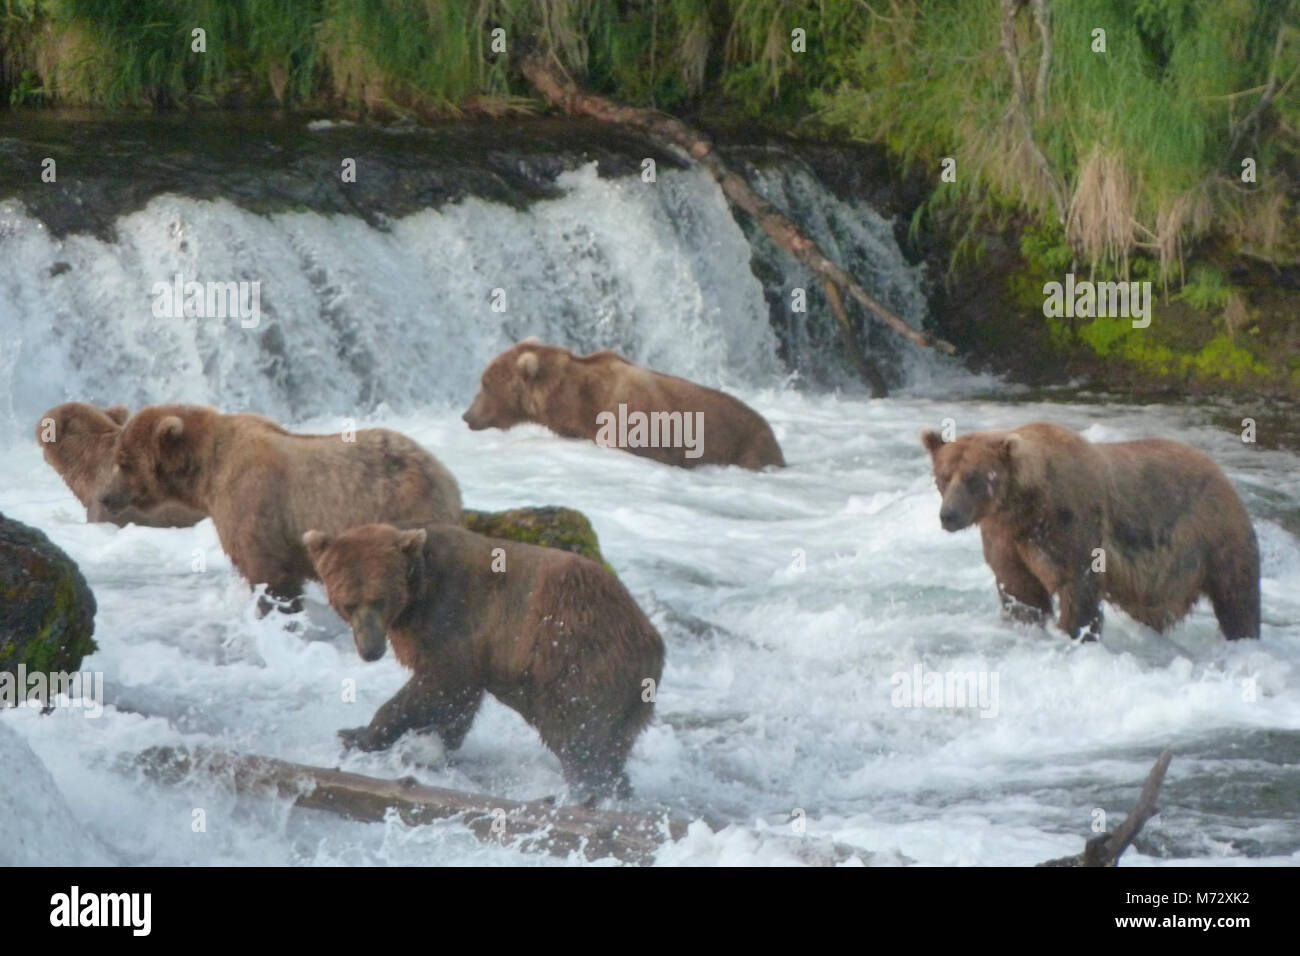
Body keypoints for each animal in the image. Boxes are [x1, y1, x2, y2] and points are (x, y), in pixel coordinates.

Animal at [100, 405, 462, 612]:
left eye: (123, 461)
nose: (106, 496)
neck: (207, 471)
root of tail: (444, 475)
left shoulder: (253, 504)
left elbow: (268, 574)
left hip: (402, 509)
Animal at [302, 522, 665, 800]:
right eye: (348, 603)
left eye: (380, 599)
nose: (371, 650)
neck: (417, 596)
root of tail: (653, 642)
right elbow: (457, 703)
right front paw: (429, 749)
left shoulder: (454, 619)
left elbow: (441, 683)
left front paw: (358, 733)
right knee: (606, 746)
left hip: (580, 661)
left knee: (582, 738)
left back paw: (587, 792)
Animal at [921, 422, 1259, 642]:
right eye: (944, 476)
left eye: (973, 478)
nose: (949, 515)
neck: (1023, 505)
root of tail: (1220, 472)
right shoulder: (1005, 538)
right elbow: (1021, 590)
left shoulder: (1069, 523)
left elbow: (1076, 585)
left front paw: (1074, 632)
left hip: (1214, 533)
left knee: (1237, 597)